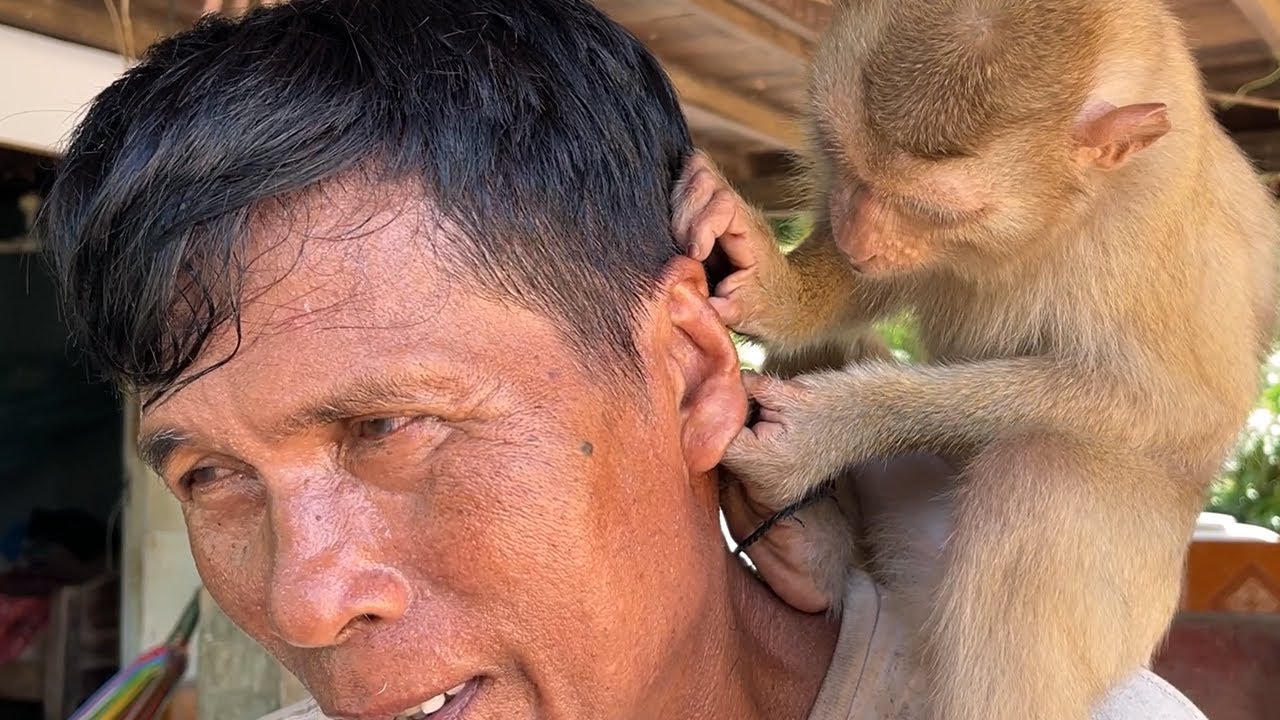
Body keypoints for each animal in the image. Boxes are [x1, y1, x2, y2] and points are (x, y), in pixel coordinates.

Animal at [672, 1, 1280, 719]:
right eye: (842, 160)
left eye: (932, 208)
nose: (855, 236)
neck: (1068, 210)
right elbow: (857, 291)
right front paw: (775, 284)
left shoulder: (1152, 237)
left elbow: (1171, 407)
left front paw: (834, 428)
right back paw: (810, 557)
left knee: (1044, 476)